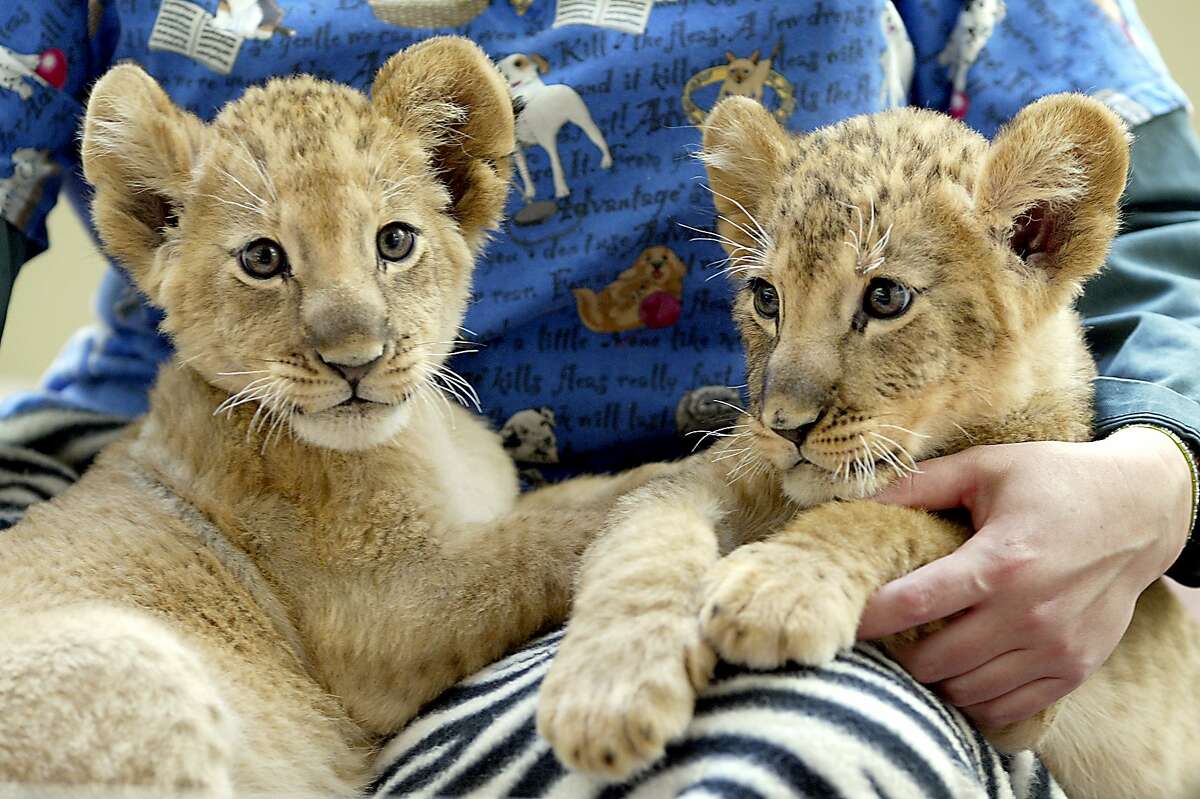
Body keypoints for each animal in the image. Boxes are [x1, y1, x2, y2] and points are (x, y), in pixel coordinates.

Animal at [537, 95, 1200, 799]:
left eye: (885, 297)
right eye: (766, 297)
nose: (784, 425)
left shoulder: (1024, 710)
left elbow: (898, 516)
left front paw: (776, 589)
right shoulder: (713, 475)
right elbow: (645, 525)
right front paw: (608, 692)